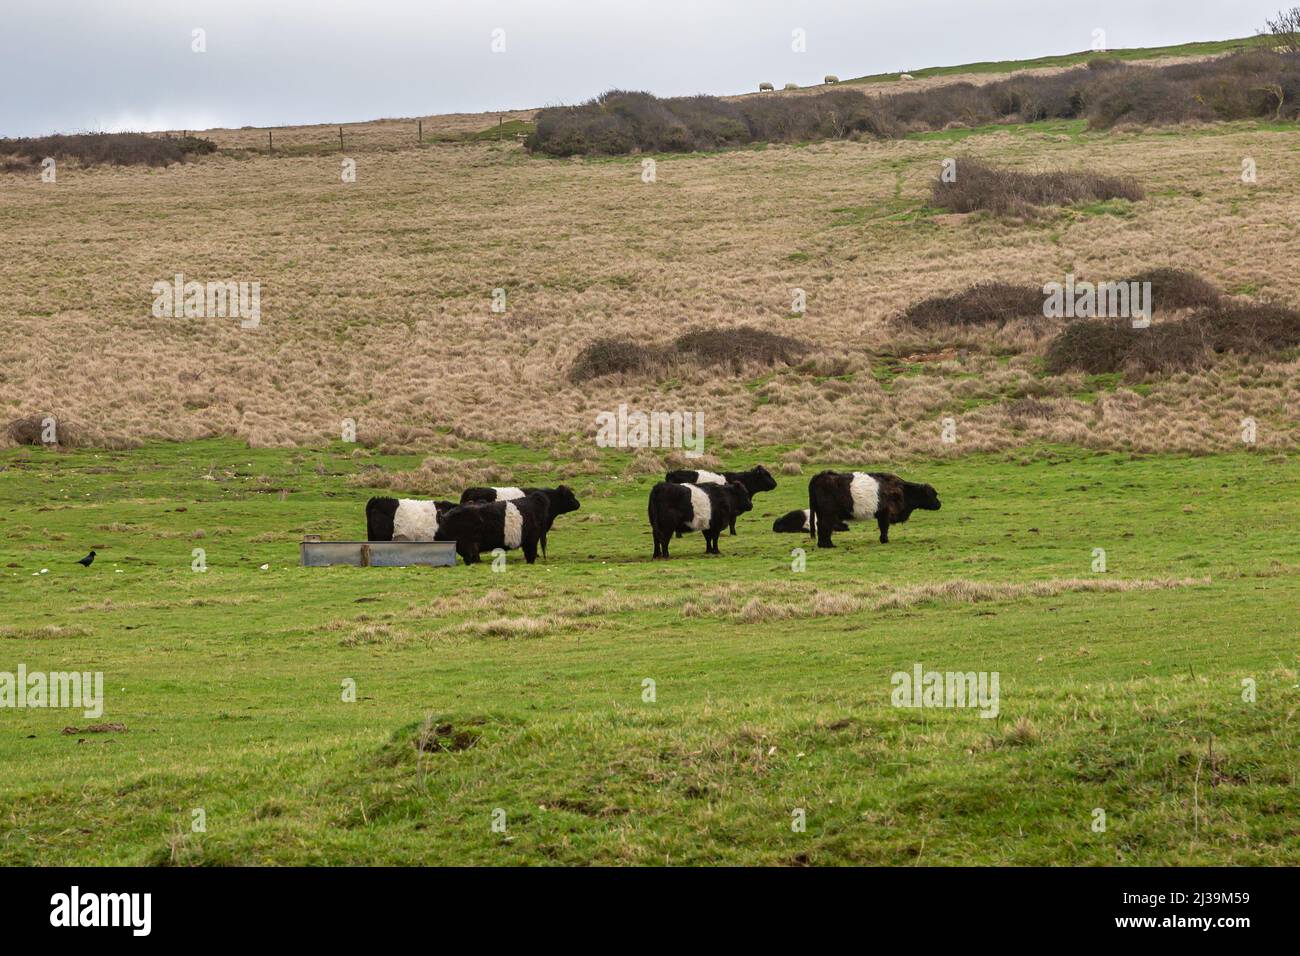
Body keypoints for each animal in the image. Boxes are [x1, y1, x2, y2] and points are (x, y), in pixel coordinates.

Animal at [807, 471, 941, 548]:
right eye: (934, 494)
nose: (939, 504)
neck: (902, 490)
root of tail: (820, 475)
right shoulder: (885, 513)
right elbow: (884, 527)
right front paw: (884, 540)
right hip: (828, 513)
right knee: (825, 526)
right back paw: (828, 545)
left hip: (822, 513)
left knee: (821, 526)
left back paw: (823, 544)